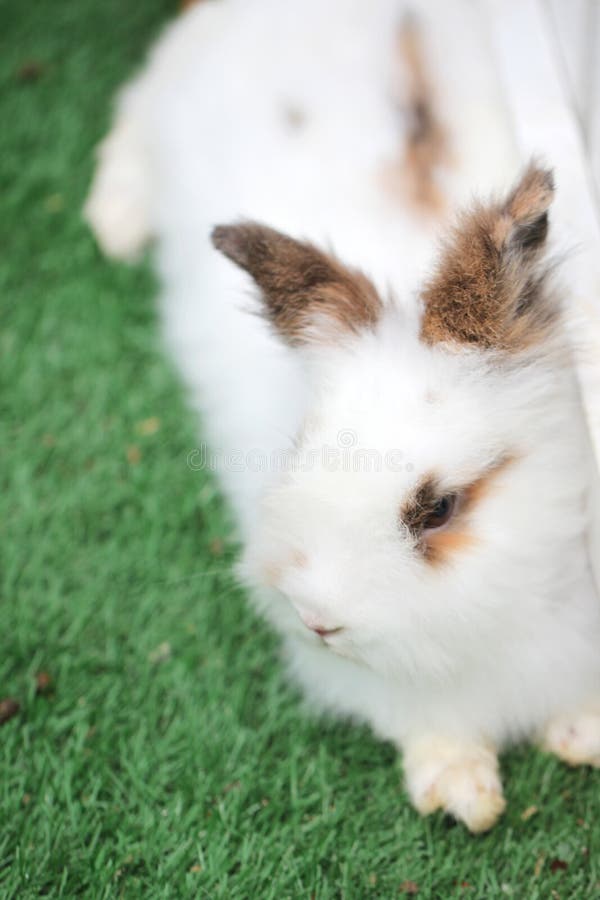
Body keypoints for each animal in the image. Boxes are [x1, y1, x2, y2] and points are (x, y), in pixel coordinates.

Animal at [85, 0, 600, 832]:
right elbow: (429, 724)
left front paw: (580, 736)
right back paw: (116, 222)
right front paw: (462, 791)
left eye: (440, 508)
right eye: (298, 448)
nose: (318, 619)